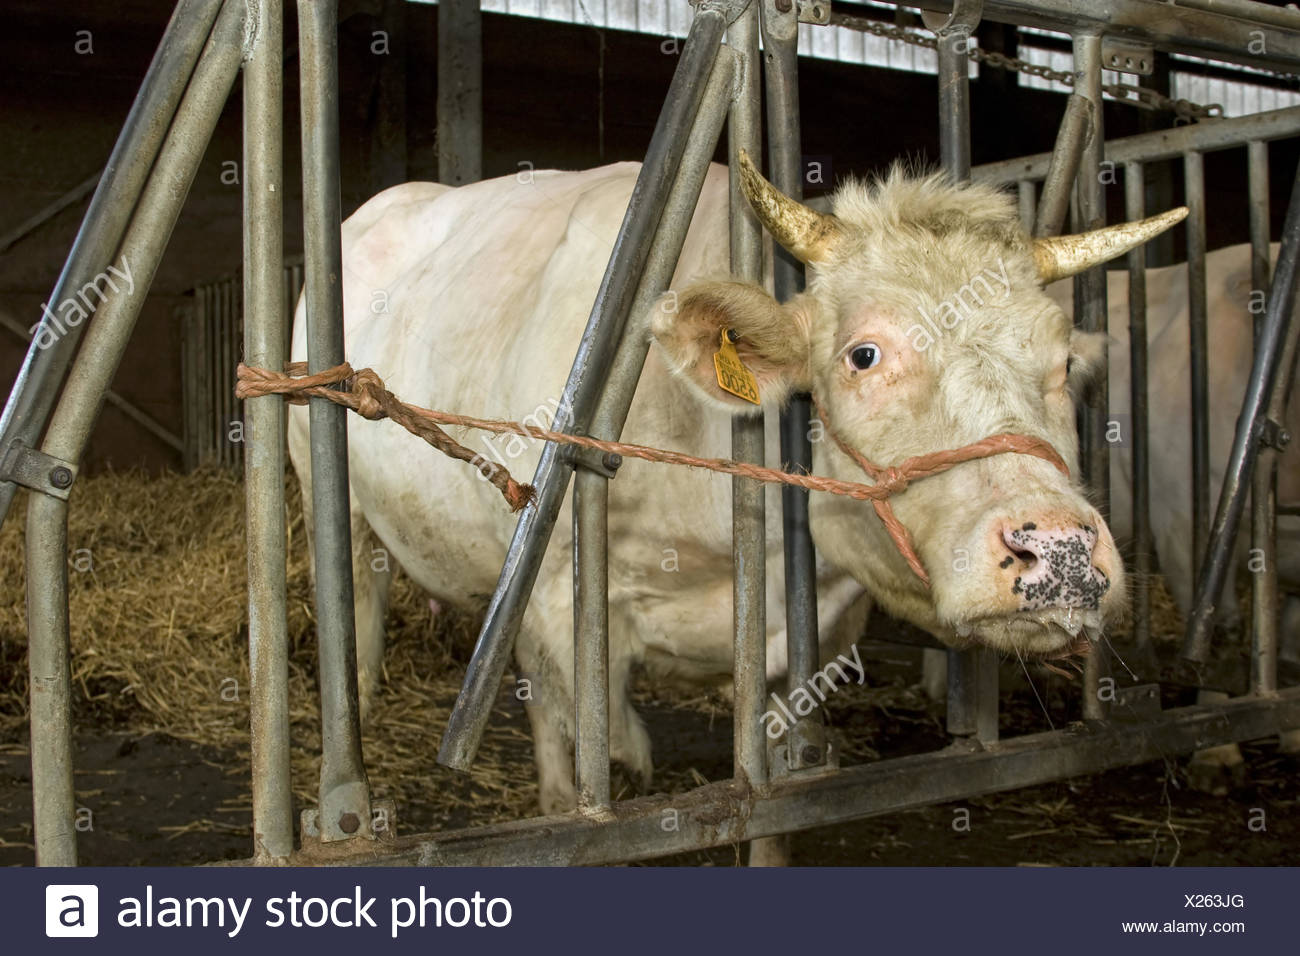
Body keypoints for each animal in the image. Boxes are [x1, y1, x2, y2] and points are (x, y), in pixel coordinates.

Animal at [287, 155, 1182, 814]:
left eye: (1063, 365)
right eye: (863, 355)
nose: (1060, 550)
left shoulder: (814, 628)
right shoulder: (548, 581)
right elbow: (576, 719)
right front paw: (582, 784)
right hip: (326, 486)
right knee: (361, 592)